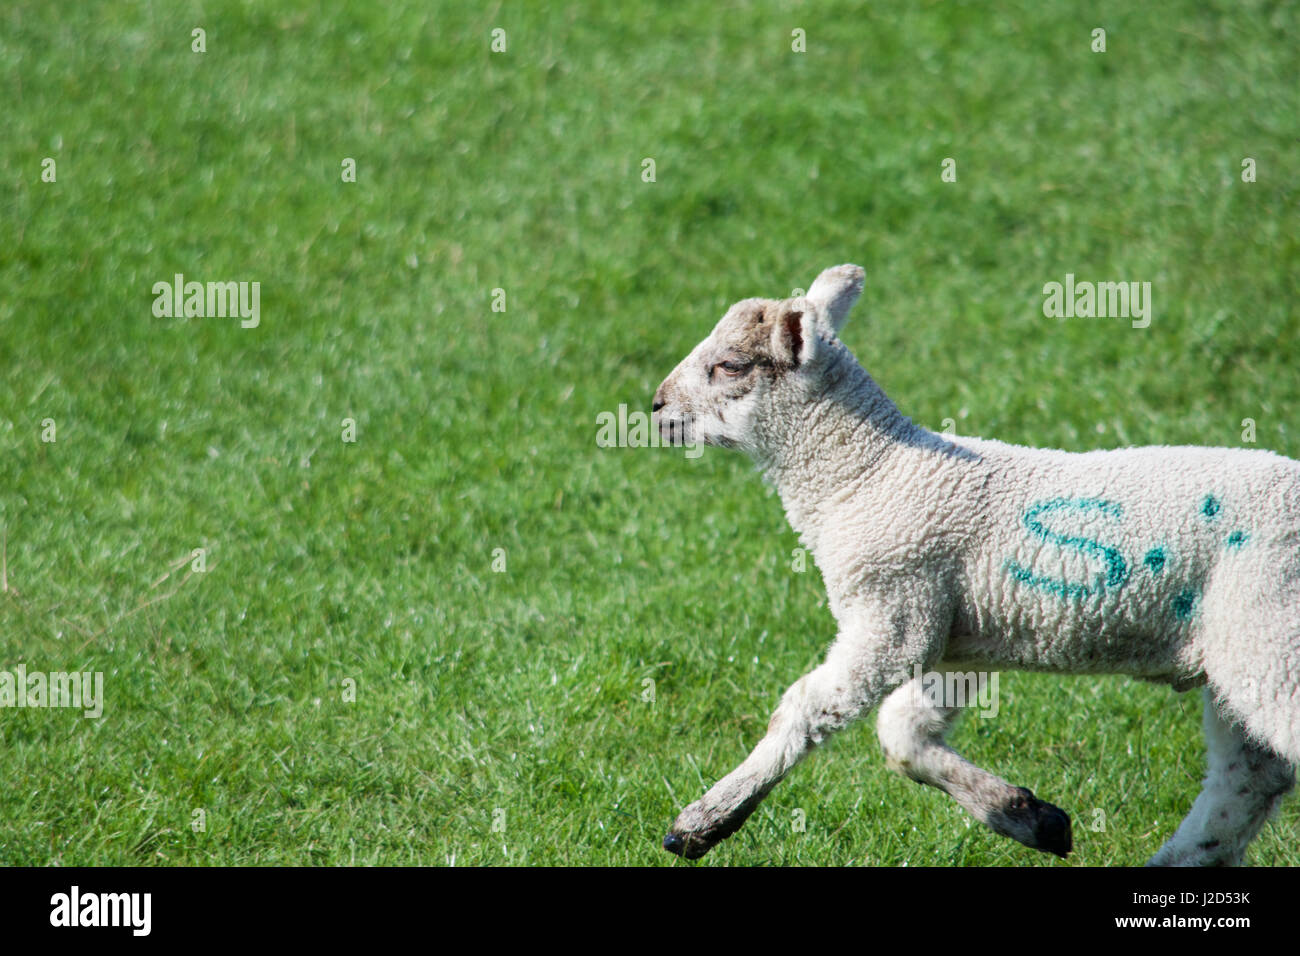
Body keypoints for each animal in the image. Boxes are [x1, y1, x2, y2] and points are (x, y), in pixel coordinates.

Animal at [651, 264, 1299, 865]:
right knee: (1247, 780)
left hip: (1268, 628)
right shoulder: (948, 635)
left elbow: (804, 708)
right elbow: (903, 734)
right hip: (1236, 648)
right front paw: (1031, 817)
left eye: (730, 365)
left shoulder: (894, 612)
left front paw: (701, 822)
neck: (864, 474)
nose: (656, 406)